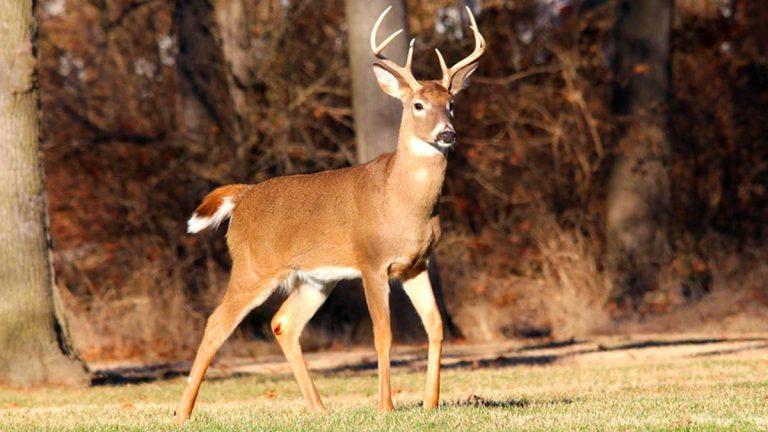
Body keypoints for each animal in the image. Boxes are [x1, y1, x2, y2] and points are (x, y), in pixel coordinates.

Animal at [174, 5, 485, 424]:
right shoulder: (371, 261)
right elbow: (383, 334)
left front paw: (430, 403)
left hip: (316, 278)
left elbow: (435, 326)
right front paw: (386, 406)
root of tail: (242, 197)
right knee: (216, 323)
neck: (404, 204)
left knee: (283, 323)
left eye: (452, 103)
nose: (447, 134)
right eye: (417, 105)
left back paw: (319, 408)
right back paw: (182, 412)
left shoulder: (416, 264)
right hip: (253, 267)